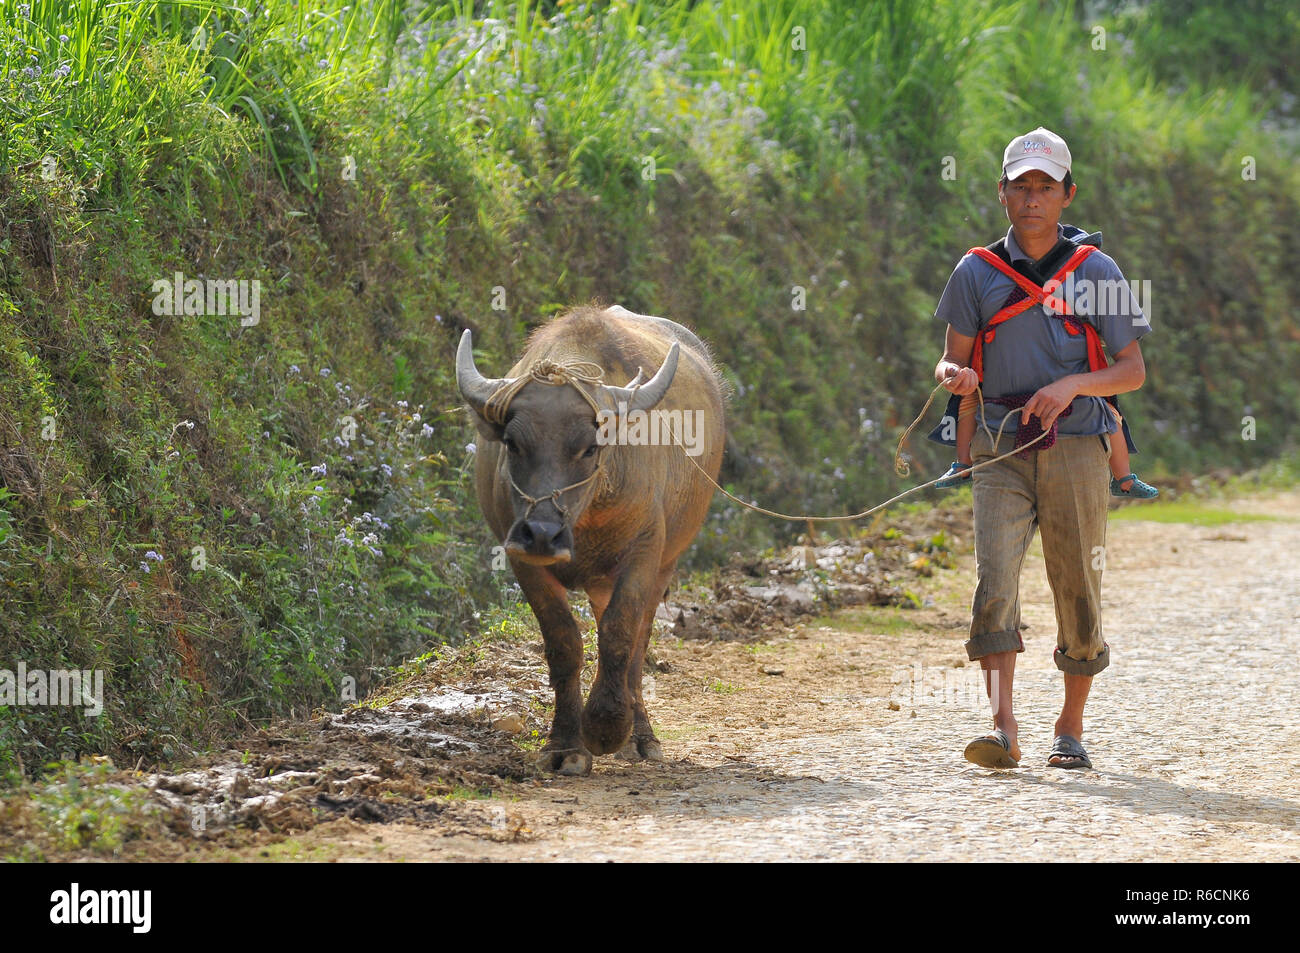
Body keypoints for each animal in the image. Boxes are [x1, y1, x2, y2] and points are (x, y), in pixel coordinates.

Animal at [457, 304, 727, 775]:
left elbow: (622, 634)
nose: (542, 533)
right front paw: (565, 745)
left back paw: (640, 737)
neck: (585, 516)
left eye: (588, 447)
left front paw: (606, 726)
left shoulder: (644, 552)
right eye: (512, 442)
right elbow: (564, 642)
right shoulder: (523, 561)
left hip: (665, 562)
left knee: (638, 642)